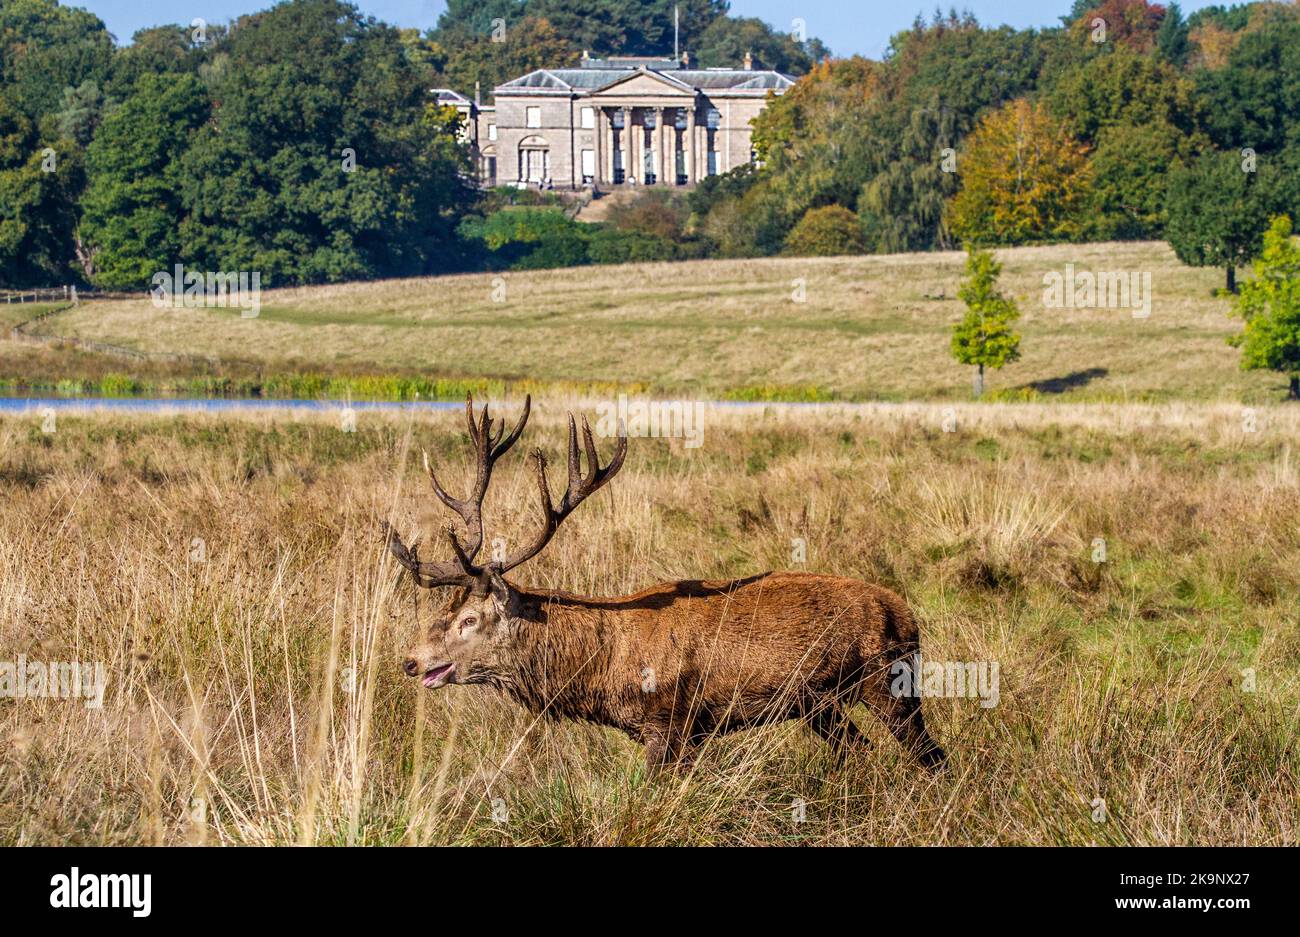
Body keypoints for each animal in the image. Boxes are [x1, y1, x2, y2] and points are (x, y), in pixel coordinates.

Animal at [383, 395, 946, 775]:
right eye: (442, 612)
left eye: (469, 620)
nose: (411, 660)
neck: (601, 668)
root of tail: (908, 614)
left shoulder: (671, 723)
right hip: (819, 706)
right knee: (860, 750)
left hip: (889, 681)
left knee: (933, 756)